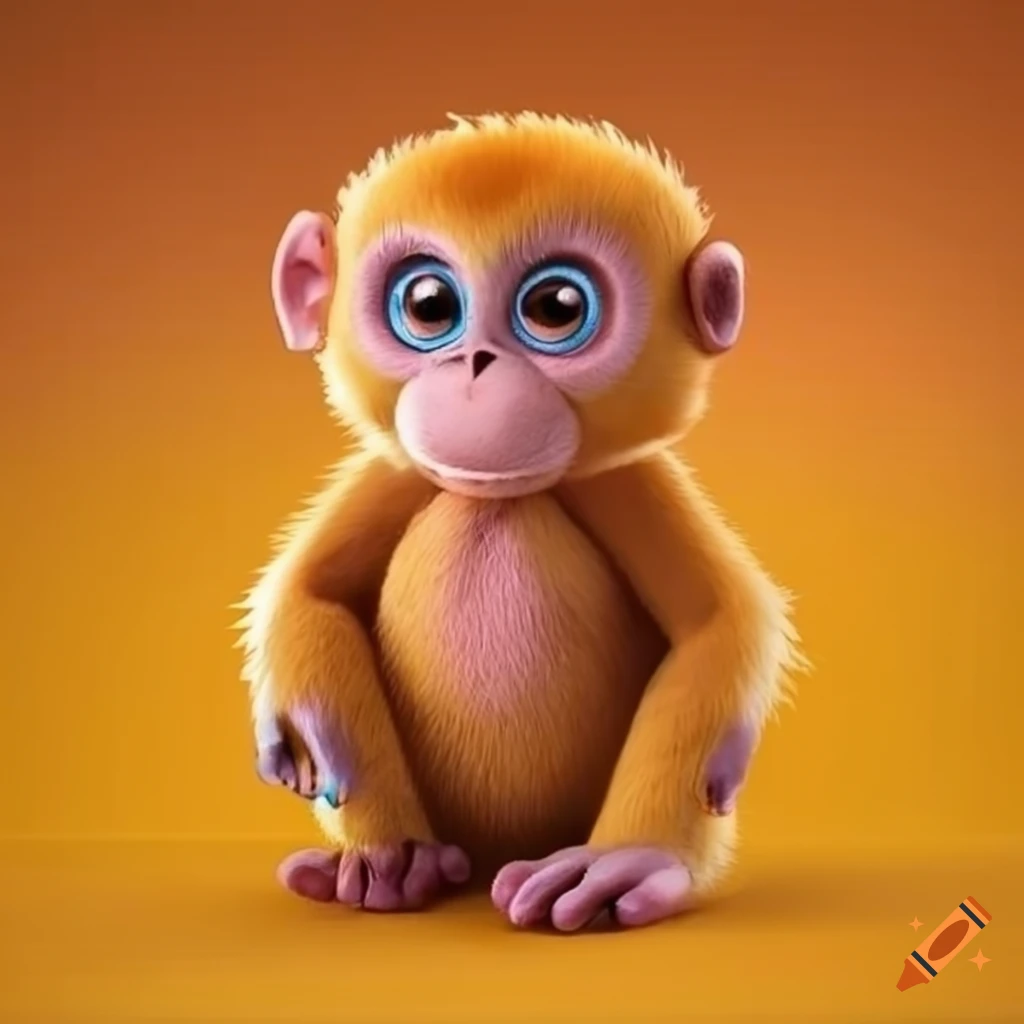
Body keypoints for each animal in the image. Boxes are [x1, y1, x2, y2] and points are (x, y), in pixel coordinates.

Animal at [236, 113, 804, 932]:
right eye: (430, 305)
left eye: (556, 308)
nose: (475, 364)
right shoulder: (402, 467)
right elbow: (314, 592)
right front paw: (371, 830)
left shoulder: (623, 479)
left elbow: (717, 622)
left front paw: (626, 862)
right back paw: (404, 864)